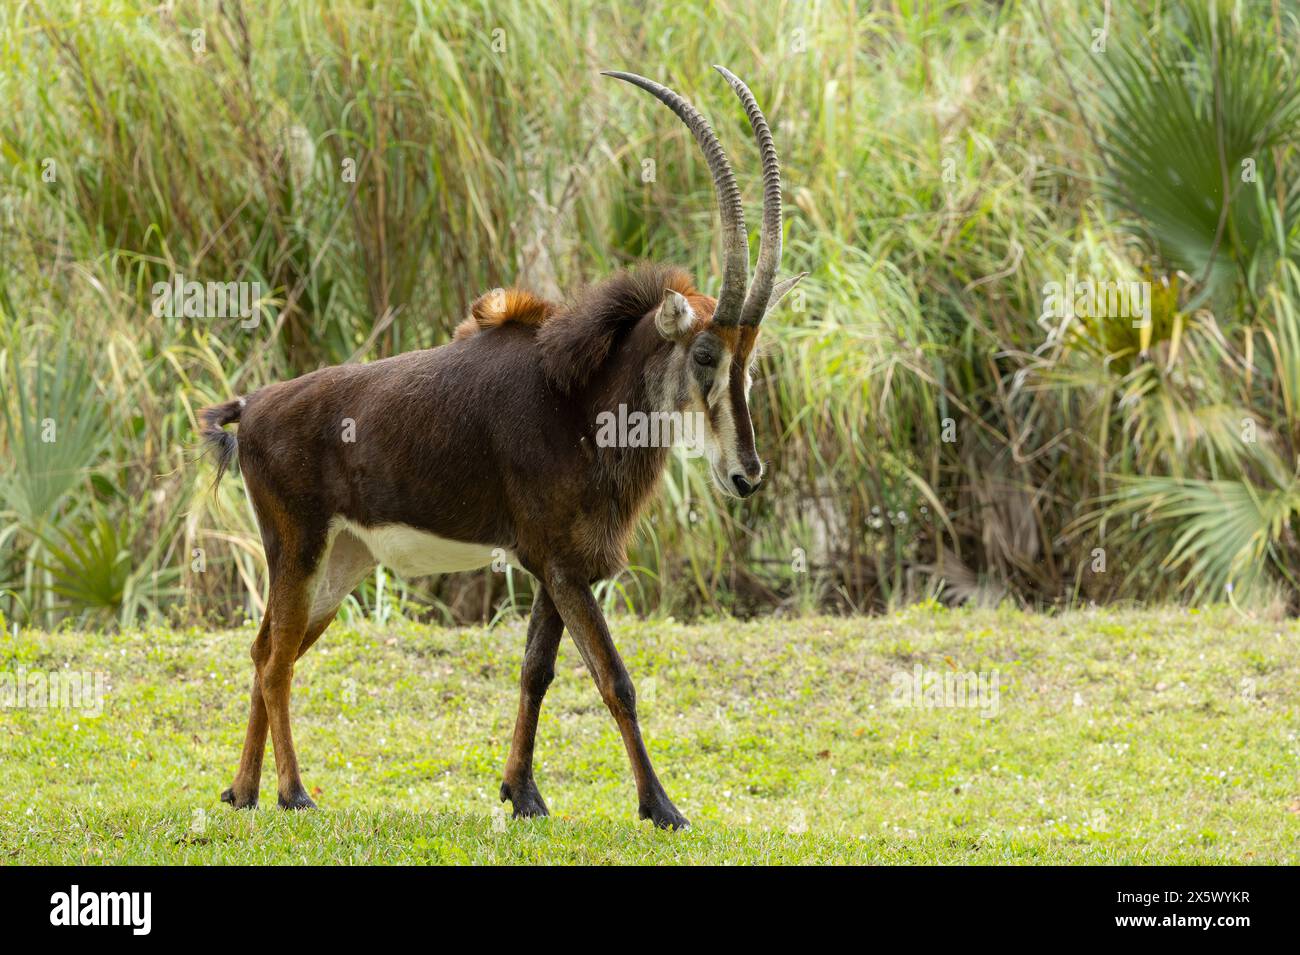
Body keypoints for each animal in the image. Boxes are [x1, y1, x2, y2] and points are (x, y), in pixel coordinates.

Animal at [199, 67, 802, 830]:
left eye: (749, 360)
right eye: (703, 354)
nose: (746, 475)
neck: (577, 402)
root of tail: (252, 408)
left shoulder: (554, 567)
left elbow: (537, 671)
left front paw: (523, 794)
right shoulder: (564, 568)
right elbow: (615, 679)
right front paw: (661, 806)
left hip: (340, 563)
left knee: (263, 650)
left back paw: (243, 791)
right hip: (297, 548)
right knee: (276, 660)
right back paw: (292, 793)